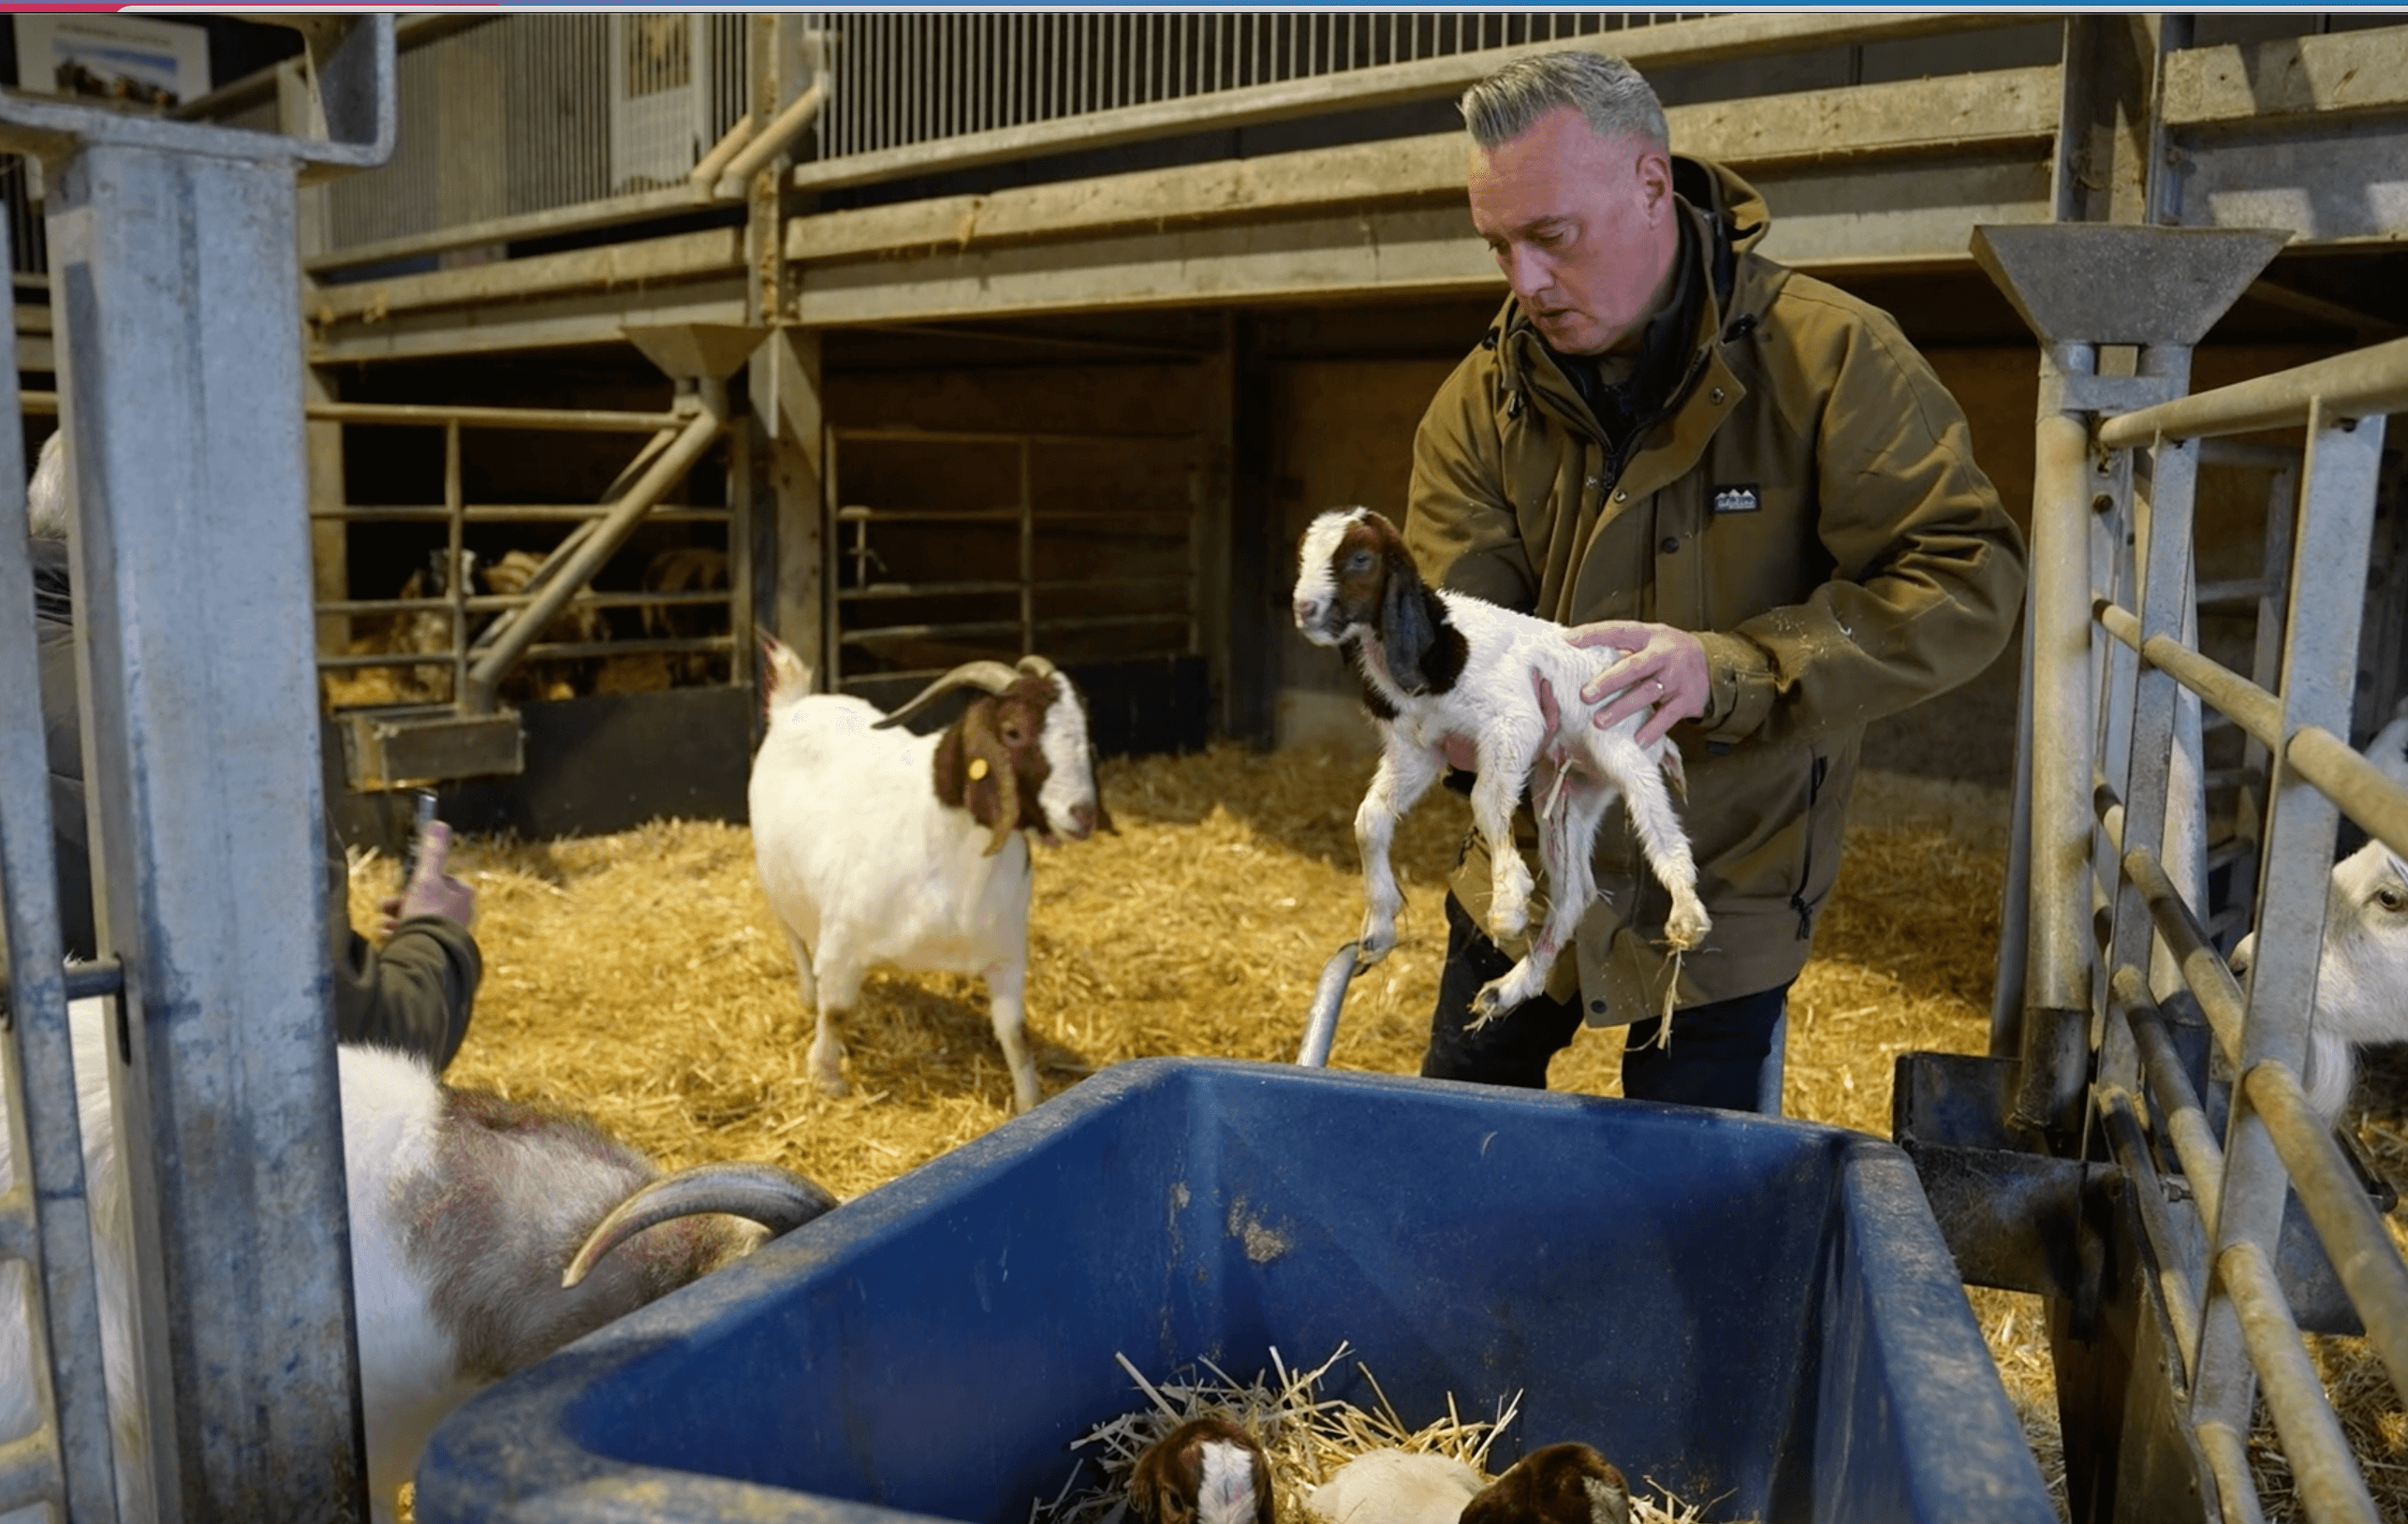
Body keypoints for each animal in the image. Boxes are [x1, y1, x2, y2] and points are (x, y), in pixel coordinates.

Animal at [749, 635, 1112, 1114]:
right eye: (1013, 731)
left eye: (1084, 730)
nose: (1083, 814)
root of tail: (794, 704)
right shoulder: (843, 941)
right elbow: (837, 1010)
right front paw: (826, 1076)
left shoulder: (1007, 954)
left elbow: (1015, 1034)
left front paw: (1030, 1103)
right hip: (776, 879)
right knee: (792, 936)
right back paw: (808, 995)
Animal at [1290, 507, 1708, 1023]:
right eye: (1303, 554)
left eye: (1361, 559)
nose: (1304, 608)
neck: (1446, 646)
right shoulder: (1420, 749)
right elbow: (1370, 819)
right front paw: (1378, 926)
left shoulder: (1514, 723)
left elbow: (1487, 802)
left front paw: (1508, 904)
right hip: (1569, 787)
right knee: (1574, 891)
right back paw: (1511, 987)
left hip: (1621, 743)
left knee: (1662, 830)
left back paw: (1687, 916)